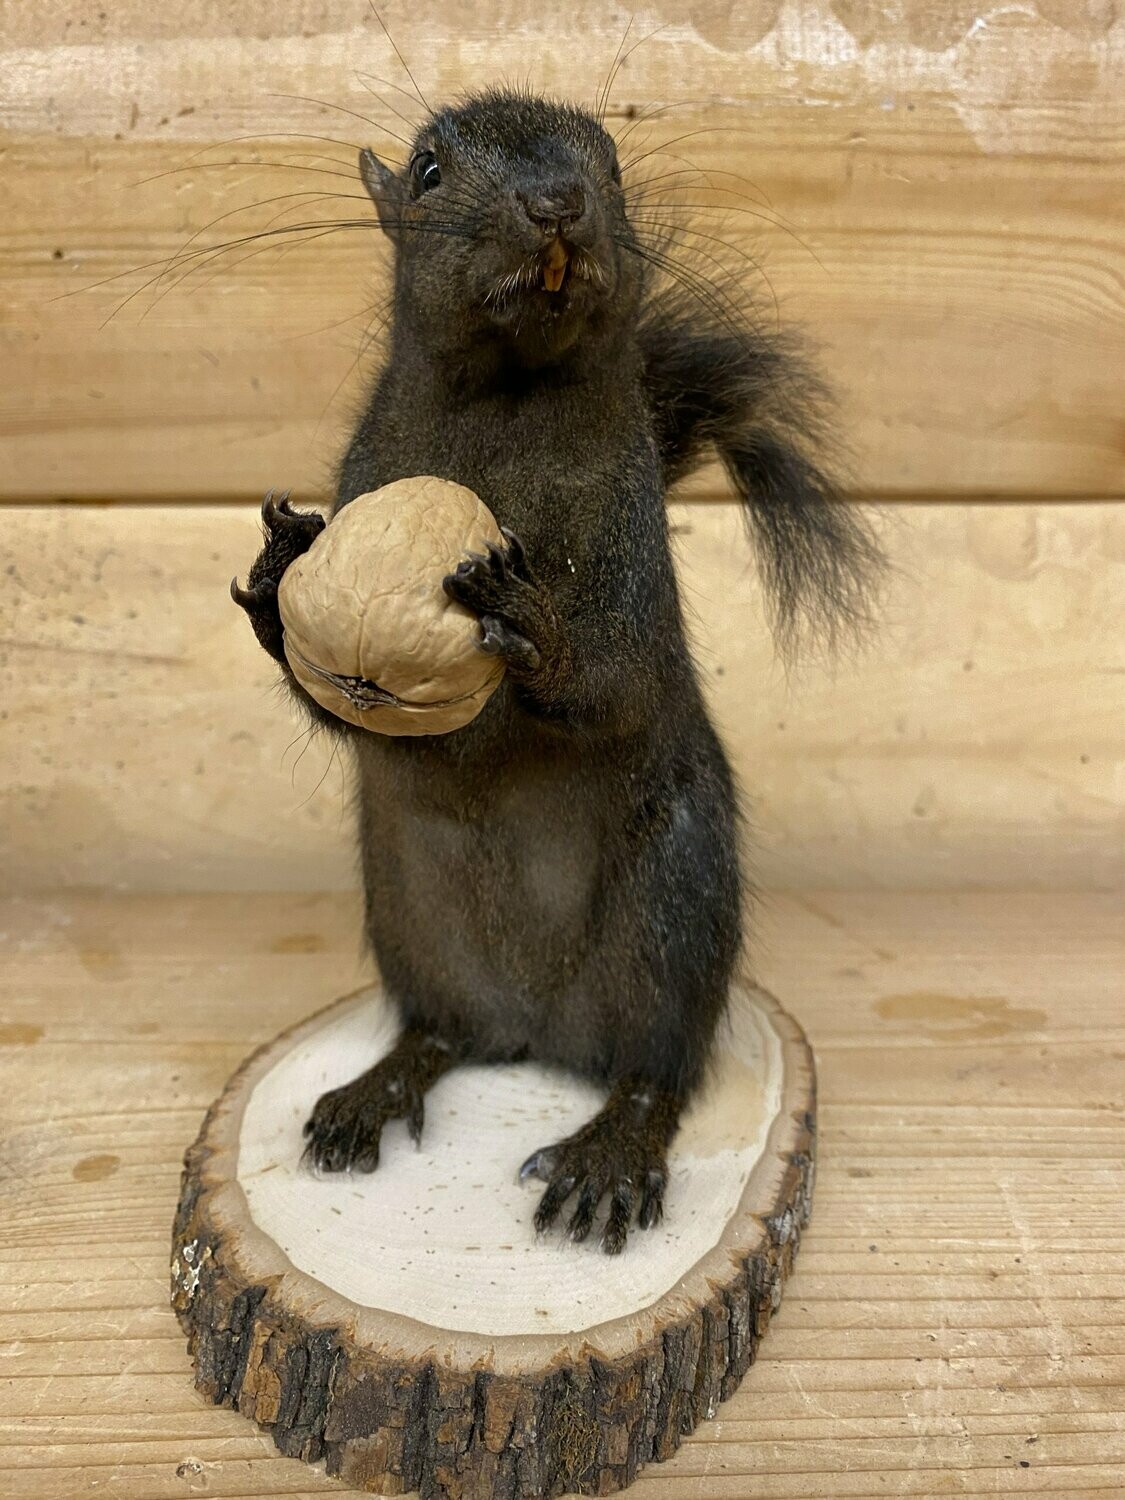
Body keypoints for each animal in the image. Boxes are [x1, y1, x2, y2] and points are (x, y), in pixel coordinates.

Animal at [232, 88, 882, 1254]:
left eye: (612, 169)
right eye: (428, 171)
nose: (555, 202)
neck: (509, 402)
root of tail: (539, 1030)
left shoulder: (633, 548)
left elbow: (615, 676)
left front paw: (533, 623)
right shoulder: (364, 487)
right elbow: (337, 698)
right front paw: (272, 584)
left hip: (674, 912)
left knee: (659, 1072)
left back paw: (608, 1155)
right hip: (410, 920)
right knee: (439, 1035)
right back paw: (376, 1088)